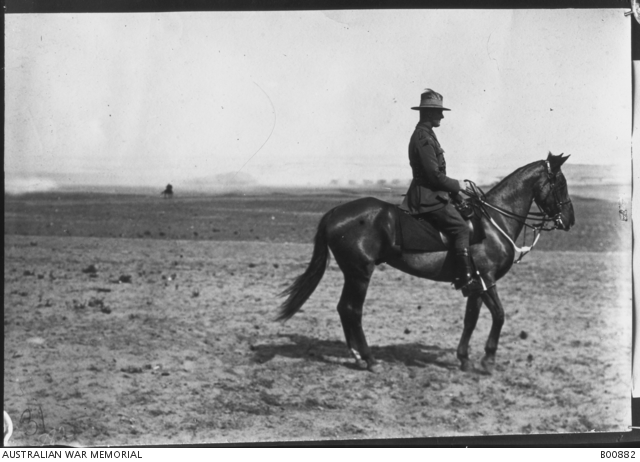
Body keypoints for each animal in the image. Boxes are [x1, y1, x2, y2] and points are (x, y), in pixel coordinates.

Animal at [277, 152, 575, 374]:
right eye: (560, 183)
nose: (570, 221)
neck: (493, 222)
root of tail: (335, 212)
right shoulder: (487, 278)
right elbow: (499, 316)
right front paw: (488, 360)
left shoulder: (476, 283)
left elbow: (471, 319)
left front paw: (464, 358)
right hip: (360, 273)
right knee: (352, 310)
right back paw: (370, 360)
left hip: (352, 273)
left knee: (343, 308)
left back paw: (358, 358)